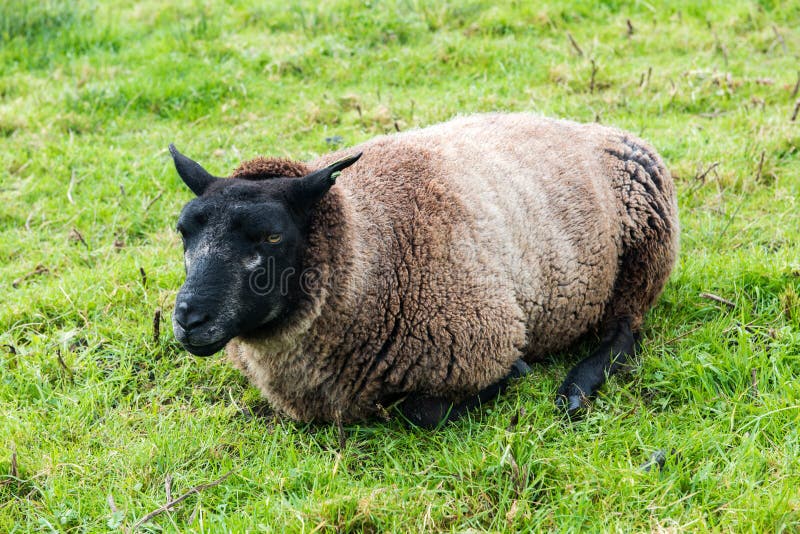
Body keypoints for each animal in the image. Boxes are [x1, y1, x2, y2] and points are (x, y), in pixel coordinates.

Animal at [169, 112, 678, 427]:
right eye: (183, 230)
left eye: (272, 236)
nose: (189, 319)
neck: (372, 249)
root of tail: (601, 130)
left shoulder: (484, 335)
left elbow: (421, 413)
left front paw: (514, 374)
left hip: (642, 256)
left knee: (623, 334)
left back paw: (576, 388)